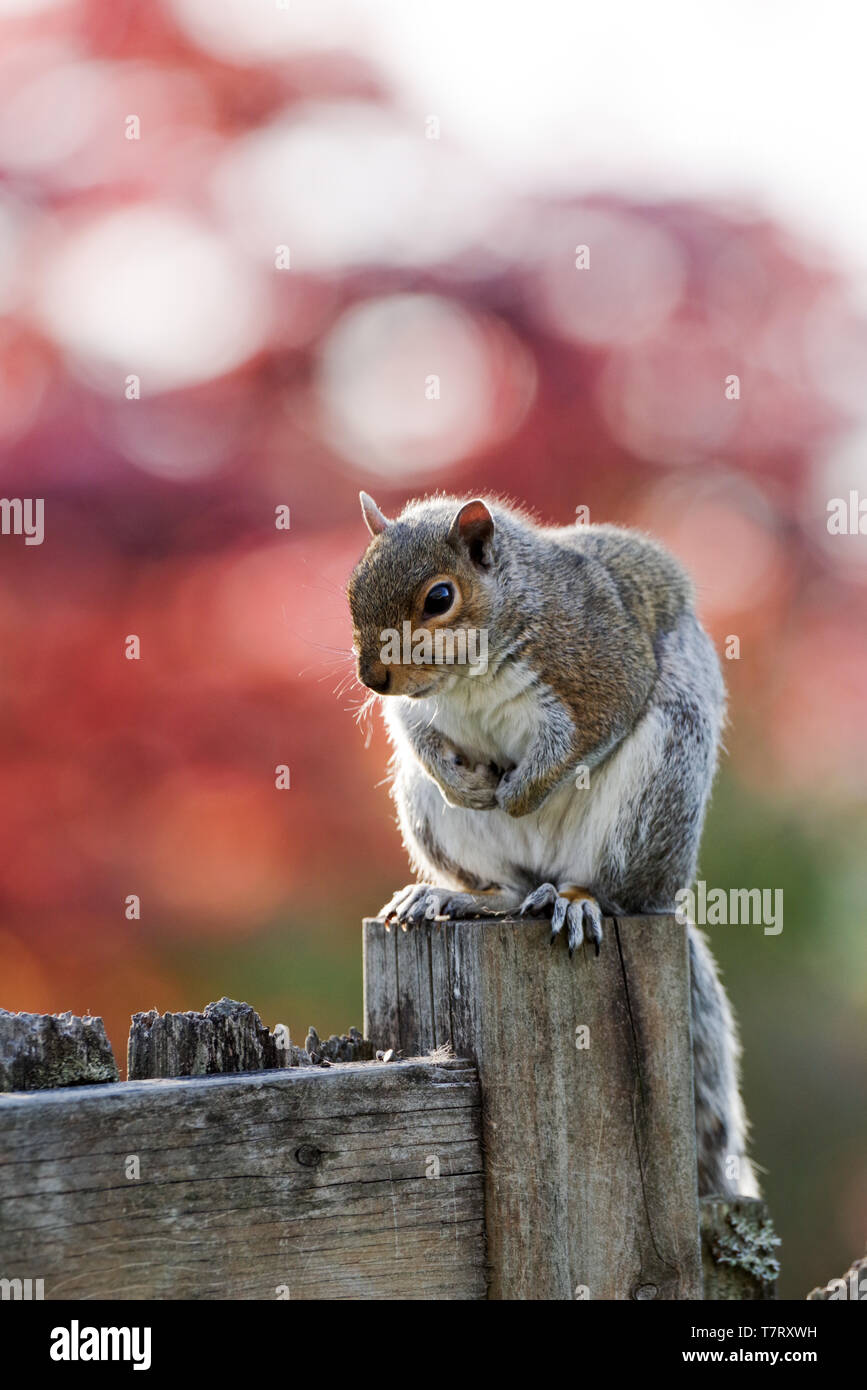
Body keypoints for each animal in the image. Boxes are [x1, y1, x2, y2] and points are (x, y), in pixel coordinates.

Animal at [348, 490, 757, 1199]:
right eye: (352, 589)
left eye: (439, 597)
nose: (374, 677)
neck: (467, 677)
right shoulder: (416, 712)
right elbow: (413, 729)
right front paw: (468, 785)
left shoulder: (598, 660)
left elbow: (597, 722)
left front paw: (517, 793)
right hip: (431, 816)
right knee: (506, 885)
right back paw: (454, 898)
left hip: (658, 782)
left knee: (607, 885)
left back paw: (576, 898)